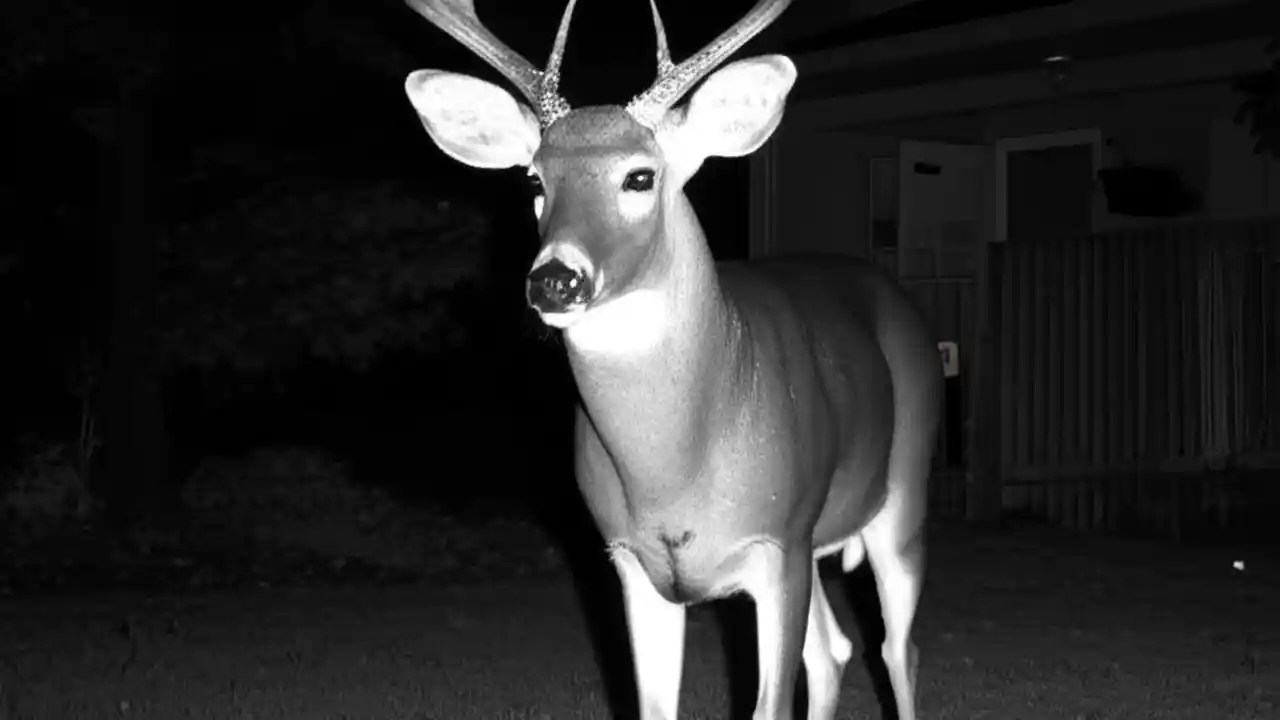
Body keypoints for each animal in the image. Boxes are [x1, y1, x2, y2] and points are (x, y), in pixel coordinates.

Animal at [402, 0, 943, 718]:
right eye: (535, 182)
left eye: (639, 176)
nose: (554, 280)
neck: (674, 473)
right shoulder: (632, 561)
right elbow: (654, 704)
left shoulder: (780, 538)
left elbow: (769, 704)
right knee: (834, 652)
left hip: (902, 492)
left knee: (897, 649)